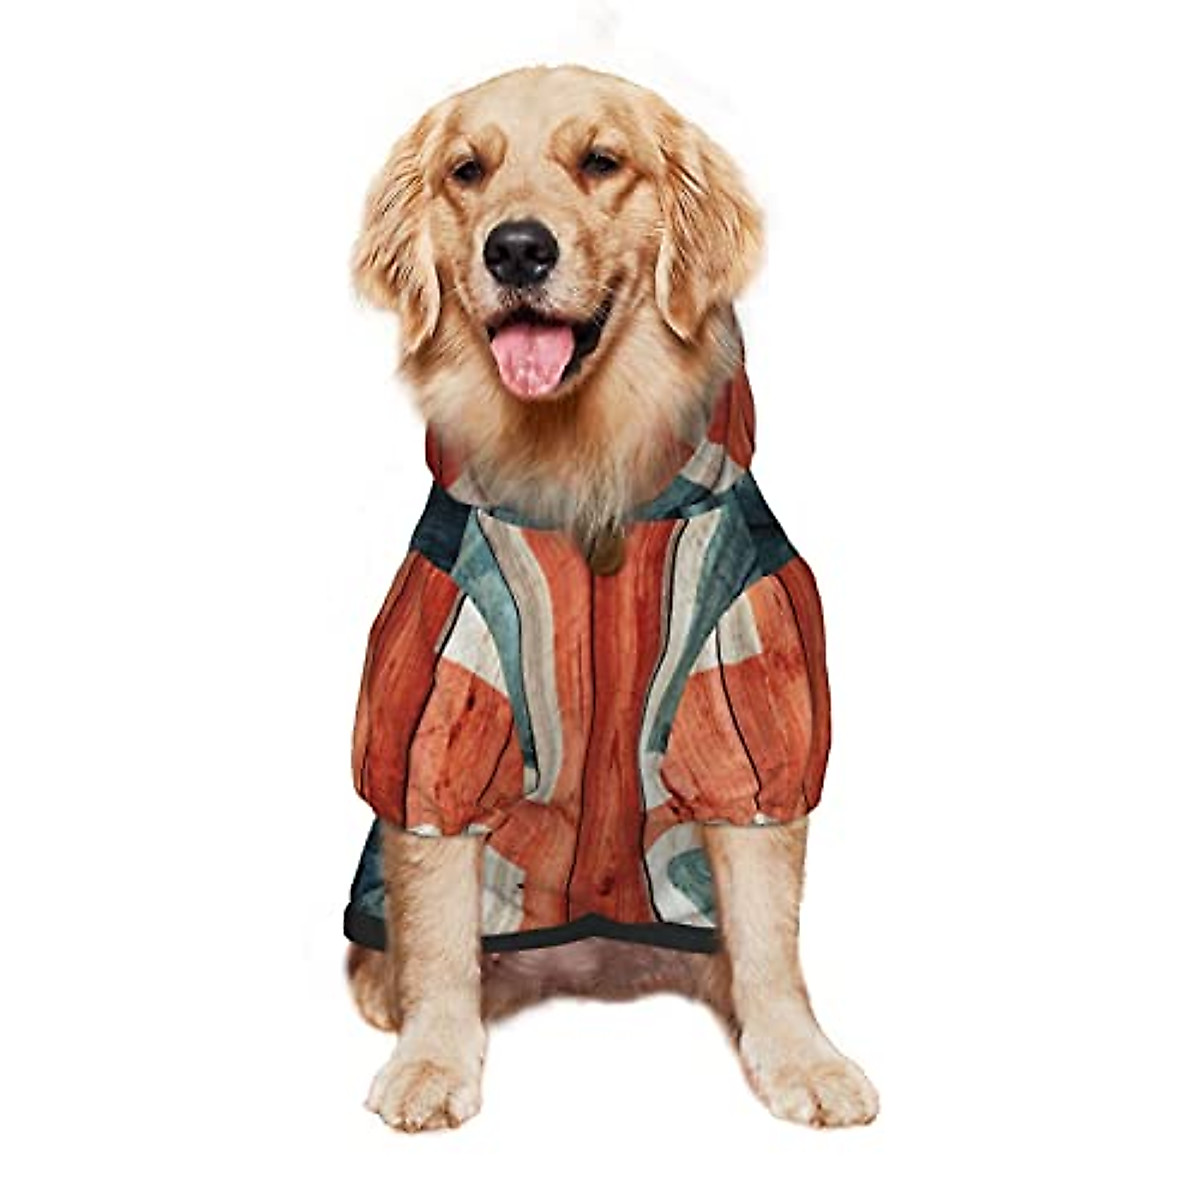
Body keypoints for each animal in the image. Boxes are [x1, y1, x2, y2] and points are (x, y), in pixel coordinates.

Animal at [343, 64, 877, 1132]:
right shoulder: (432, 712)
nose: (516, 247)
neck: (586, 489)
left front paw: (803, 1059)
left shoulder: (757, 704)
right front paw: (431, 1059)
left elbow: (770, 936)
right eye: (467, 171)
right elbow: (440, 927)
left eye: (601, 162)